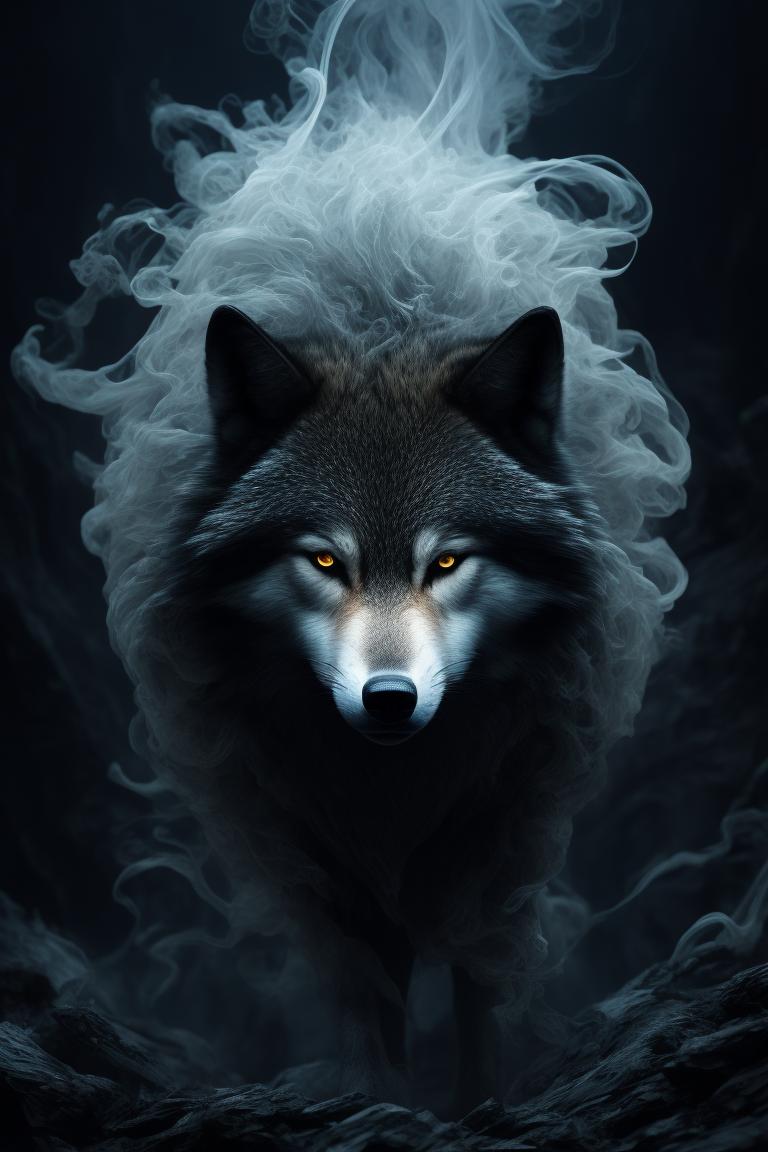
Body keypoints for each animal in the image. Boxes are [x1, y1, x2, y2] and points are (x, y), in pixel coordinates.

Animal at [148, 300, 612, 1112]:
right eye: (326, 560)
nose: (390, 699)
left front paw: (477, 1102)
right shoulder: (316, 847)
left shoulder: (502, 827)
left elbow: (475, 987)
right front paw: (380, 1101)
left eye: (448, 561)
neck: (393, 786)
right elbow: (370, 991)